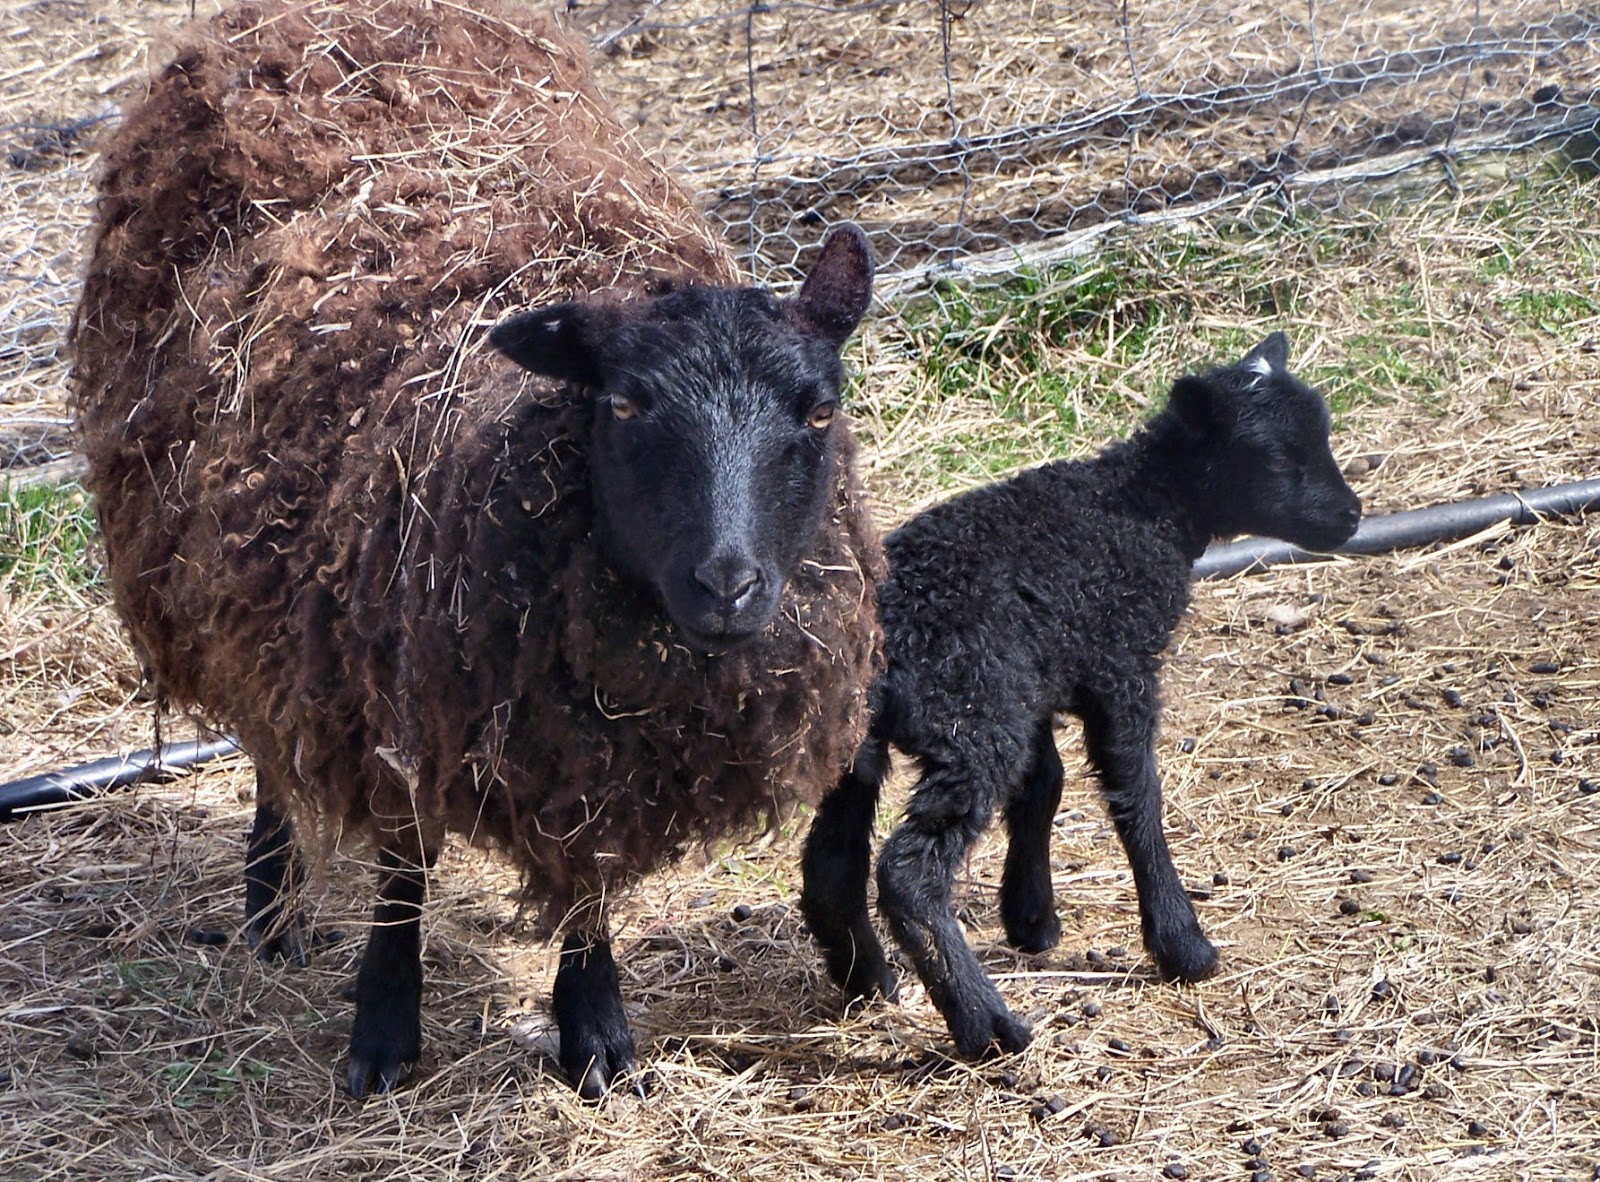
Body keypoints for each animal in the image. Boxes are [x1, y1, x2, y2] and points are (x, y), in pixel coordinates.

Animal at [70, 0, 883, 1099]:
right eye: (625, 406)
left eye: (819, 410)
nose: (728, 584)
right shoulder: (395, 682)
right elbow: (402, 869)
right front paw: (382, 1029)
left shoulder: (577, 736)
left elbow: (585, 878)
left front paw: (595, 1031)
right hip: (254, 596)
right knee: (276, 745)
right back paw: (273, 907)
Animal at [799, 333, 1361, 1057]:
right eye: (1274, 456)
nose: (1351, 516)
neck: (1146, 510)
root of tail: (881, 636)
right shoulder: (1119, 664)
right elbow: (1136, 796)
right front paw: (1183, 945)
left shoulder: (1037, 677)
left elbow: (1045, 785)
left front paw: (1030, 918)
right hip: (972, 717)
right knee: (908, 872)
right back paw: (987, 1024)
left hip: (877, 734)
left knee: (831, 862)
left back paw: (868, 979)